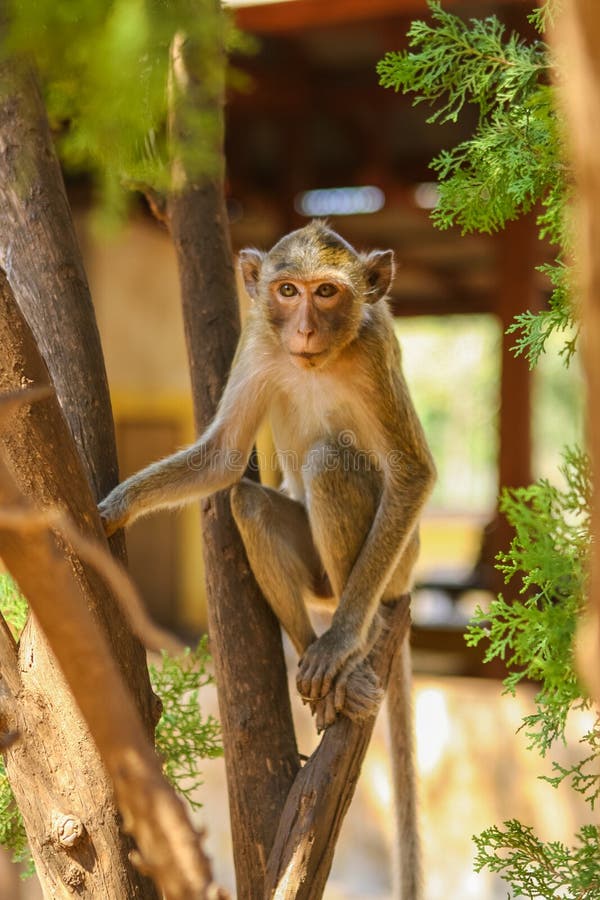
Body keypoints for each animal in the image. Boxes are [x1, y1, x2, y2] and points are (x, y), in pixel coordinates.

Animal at [98, 219, 435, 898]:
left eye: (326, 292)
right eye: (287, 291)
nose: (303, 328)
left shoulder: (375, 347)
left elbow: (412, 472)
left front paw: (342, 644)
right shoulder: (258, 343)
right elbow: (223, 459)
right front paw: (116, 508)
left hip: (393, 563)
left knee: (331, 465)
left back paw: (353, 646)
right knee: (250, 504)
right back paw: (315, 655)